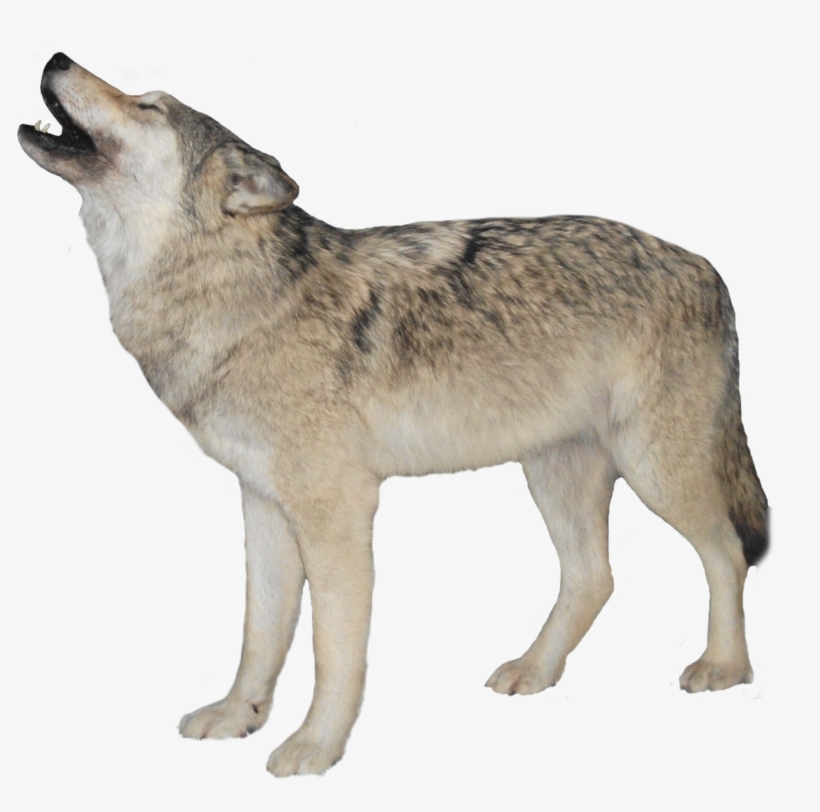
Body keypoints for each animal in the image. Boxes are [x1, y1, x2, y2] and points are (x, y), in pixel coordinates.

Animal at [19, 53, 768, 776]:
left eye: (149, 104)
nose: (56, 56)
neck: (237, 297)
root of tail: (705, 267)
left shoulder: (337, 511)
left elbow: (332, 649)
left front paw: (316, 748)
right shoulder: (262, 502)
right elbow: (260, 633)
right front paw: (238, 716)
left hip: (655, 472)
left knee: (727, 552)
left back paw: (724, 667)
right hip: (554, 476)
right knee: (594, 577)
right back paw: (535, 670)